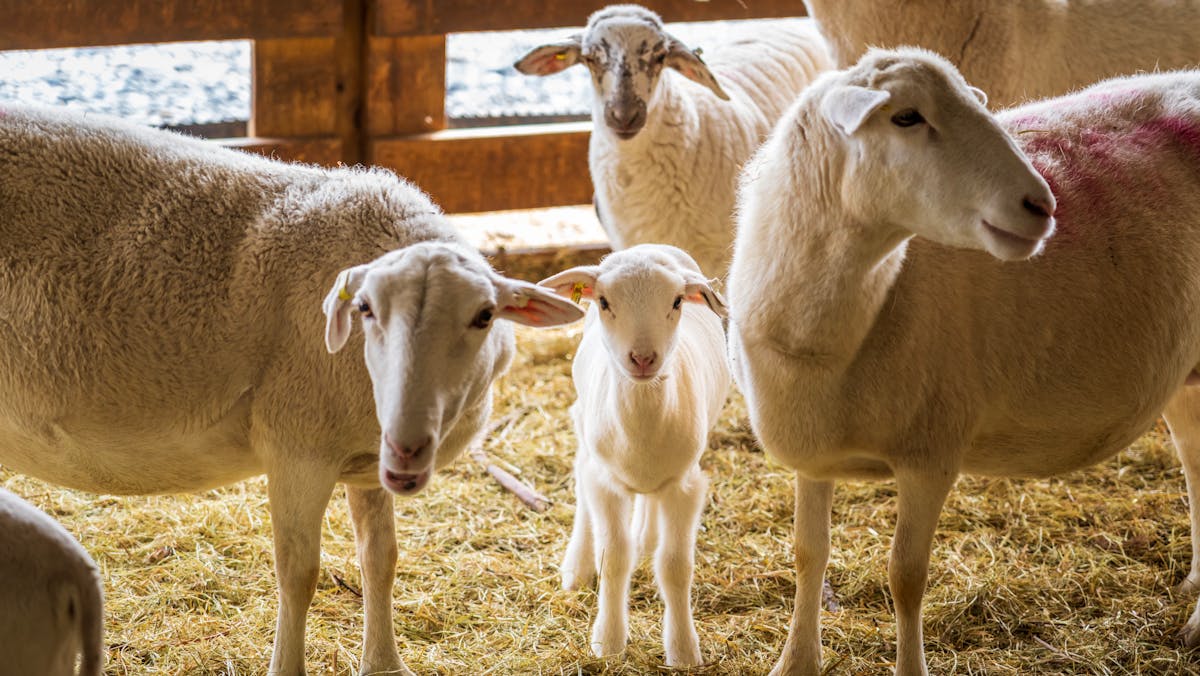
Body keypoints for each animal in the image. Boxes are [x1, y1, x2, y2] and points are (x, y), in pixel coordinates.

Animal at [539, 243, 730, 667]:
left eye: (676, 301)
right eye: (604, 302)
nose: (643, 358)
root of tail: (650, 246)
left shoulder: (686, 485)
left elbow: (675, 566)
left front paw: (683, 651)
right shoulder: (606, 483)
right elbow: (614, 558)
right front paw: (608, 643)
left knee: (649, 504)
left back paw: (647, 534)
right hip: (583, 423)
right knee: (581, 480)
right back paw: (577, 565)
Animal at [726, 47, 1200, 675]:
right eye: (906, 117)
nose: (1042, 205)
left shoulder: (931, 451)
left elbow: (905, 577)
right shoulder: (812, 447)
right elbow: (808, 554)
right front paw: (796, 661)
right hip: (1188, 375)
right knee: (1196, 461)